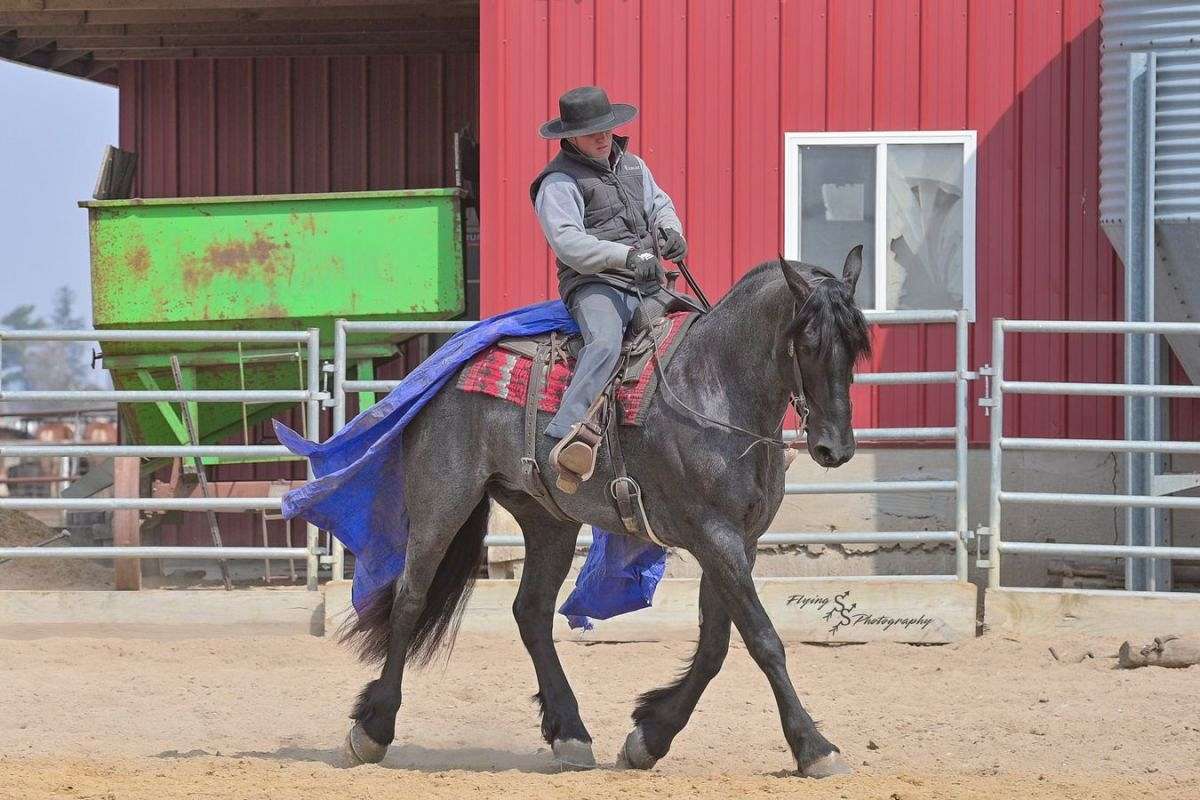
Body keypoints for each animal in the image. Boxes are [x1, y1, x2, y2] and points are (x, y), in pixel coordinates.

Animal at [338, 247, 871, 777]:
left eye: (855, 346)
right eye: (808, 342)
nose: (835, 448)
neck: (715, 391)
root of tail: (446, 372)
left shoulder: (740, 542)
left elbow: (715, 646)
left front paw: (649, 737)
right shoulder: (714, 537)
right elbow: (763, 640)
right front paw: (814, 746)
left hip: (548, 520)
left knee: (530, 611)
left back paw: (570, 733)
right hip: (442, 500)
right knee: (410, 597)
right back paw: (372, 729)